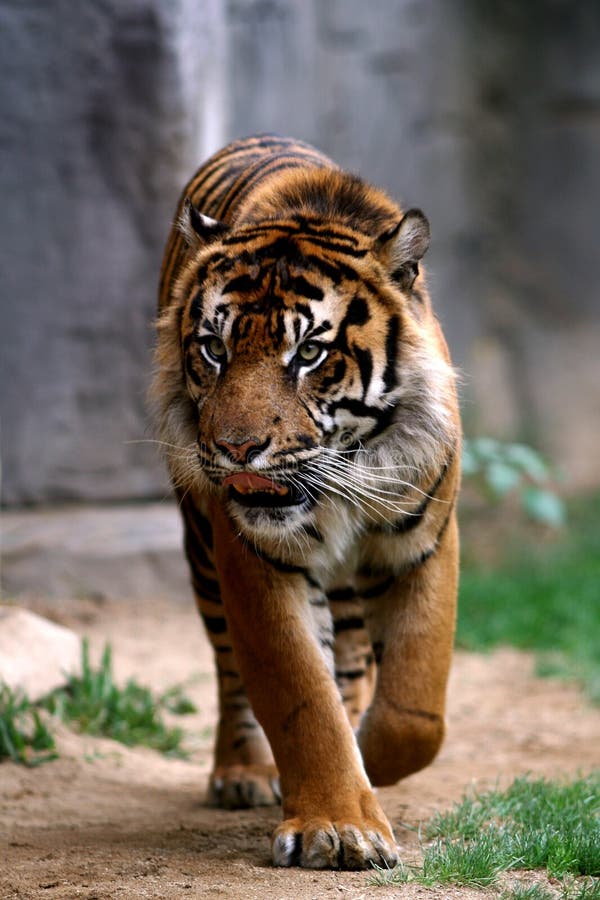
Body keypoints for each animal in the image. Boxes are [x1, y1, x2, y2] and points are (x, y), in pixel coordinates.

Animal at [151, 134, 460, 870]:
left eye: (310, 353)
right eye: (214, 347)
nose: (236, 449)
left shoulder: (425, 543)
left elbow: (416, 704)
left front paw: (371, 758)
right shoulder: (255, 559)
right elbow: (300, 697)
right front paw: (340, 826)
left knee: (350, 657)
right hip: (202, 552)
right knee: (230, 671)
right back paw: (242, 772)